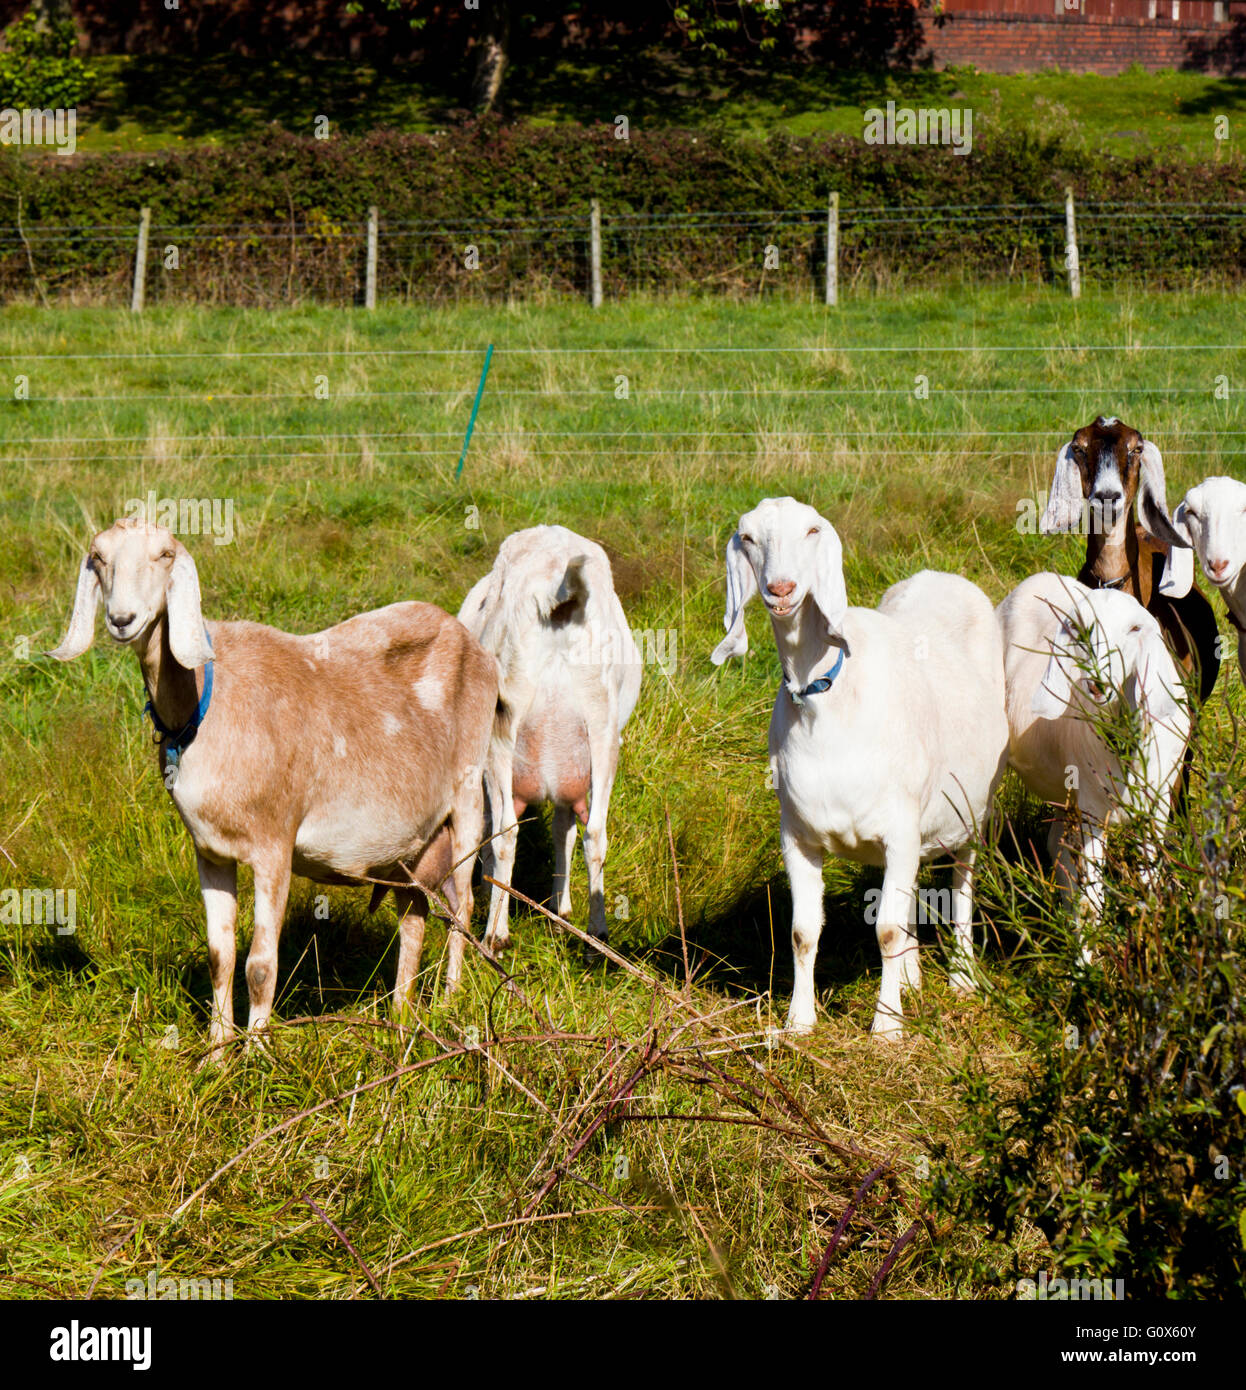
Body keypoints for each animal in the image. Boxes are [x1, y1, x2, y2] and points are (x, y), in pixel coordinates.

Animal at [50, 519, 497, 1057]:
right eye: (98, 557)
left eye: (163, 555)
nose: (121, 619)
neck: (206, 702)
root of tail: (472, 643)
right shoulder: (210, 851)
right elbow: (220, 955)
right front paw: (216, 1054)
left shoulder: (274, 845)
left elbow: (261, 966)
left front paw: (257, 1054)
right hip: (411, 847)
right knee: (415, 914)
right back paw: (400, 1016)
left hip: (468, 791)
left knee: (463, 907)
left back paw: (449, 1004)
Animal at [458, 525, 642, 950]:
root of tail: (561, 597)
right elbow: (565, 830)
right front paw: (562, 911)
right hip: (601, 728)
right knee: (594, 833)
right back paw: (595, 936)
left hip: (502, 731)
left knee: (505, 830)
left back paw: (496, 934)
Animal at [710, 497, 1009, 1039]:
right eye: (747, 537)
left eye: (812, 531)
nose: (781, 589)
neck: (829, 697)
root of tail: (939, 575)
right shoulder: (798, 834)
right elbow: (803, 932)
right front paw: (799, 1022)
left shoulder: (900, 828)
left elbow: (886, 929)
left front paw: (887, 1027)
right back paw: (912, 979)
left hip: (975, 808)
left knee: (962, 884)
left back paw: (961, 976)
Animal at [996, 572, 1189, 942]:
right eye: (1078, 627)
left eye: (1134, 629)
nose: (1097, 684)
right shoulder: (1091, 809)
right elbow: (1091, 904)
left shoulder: (1157, 805)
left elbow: (1150, 879)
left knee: (1058, 846)